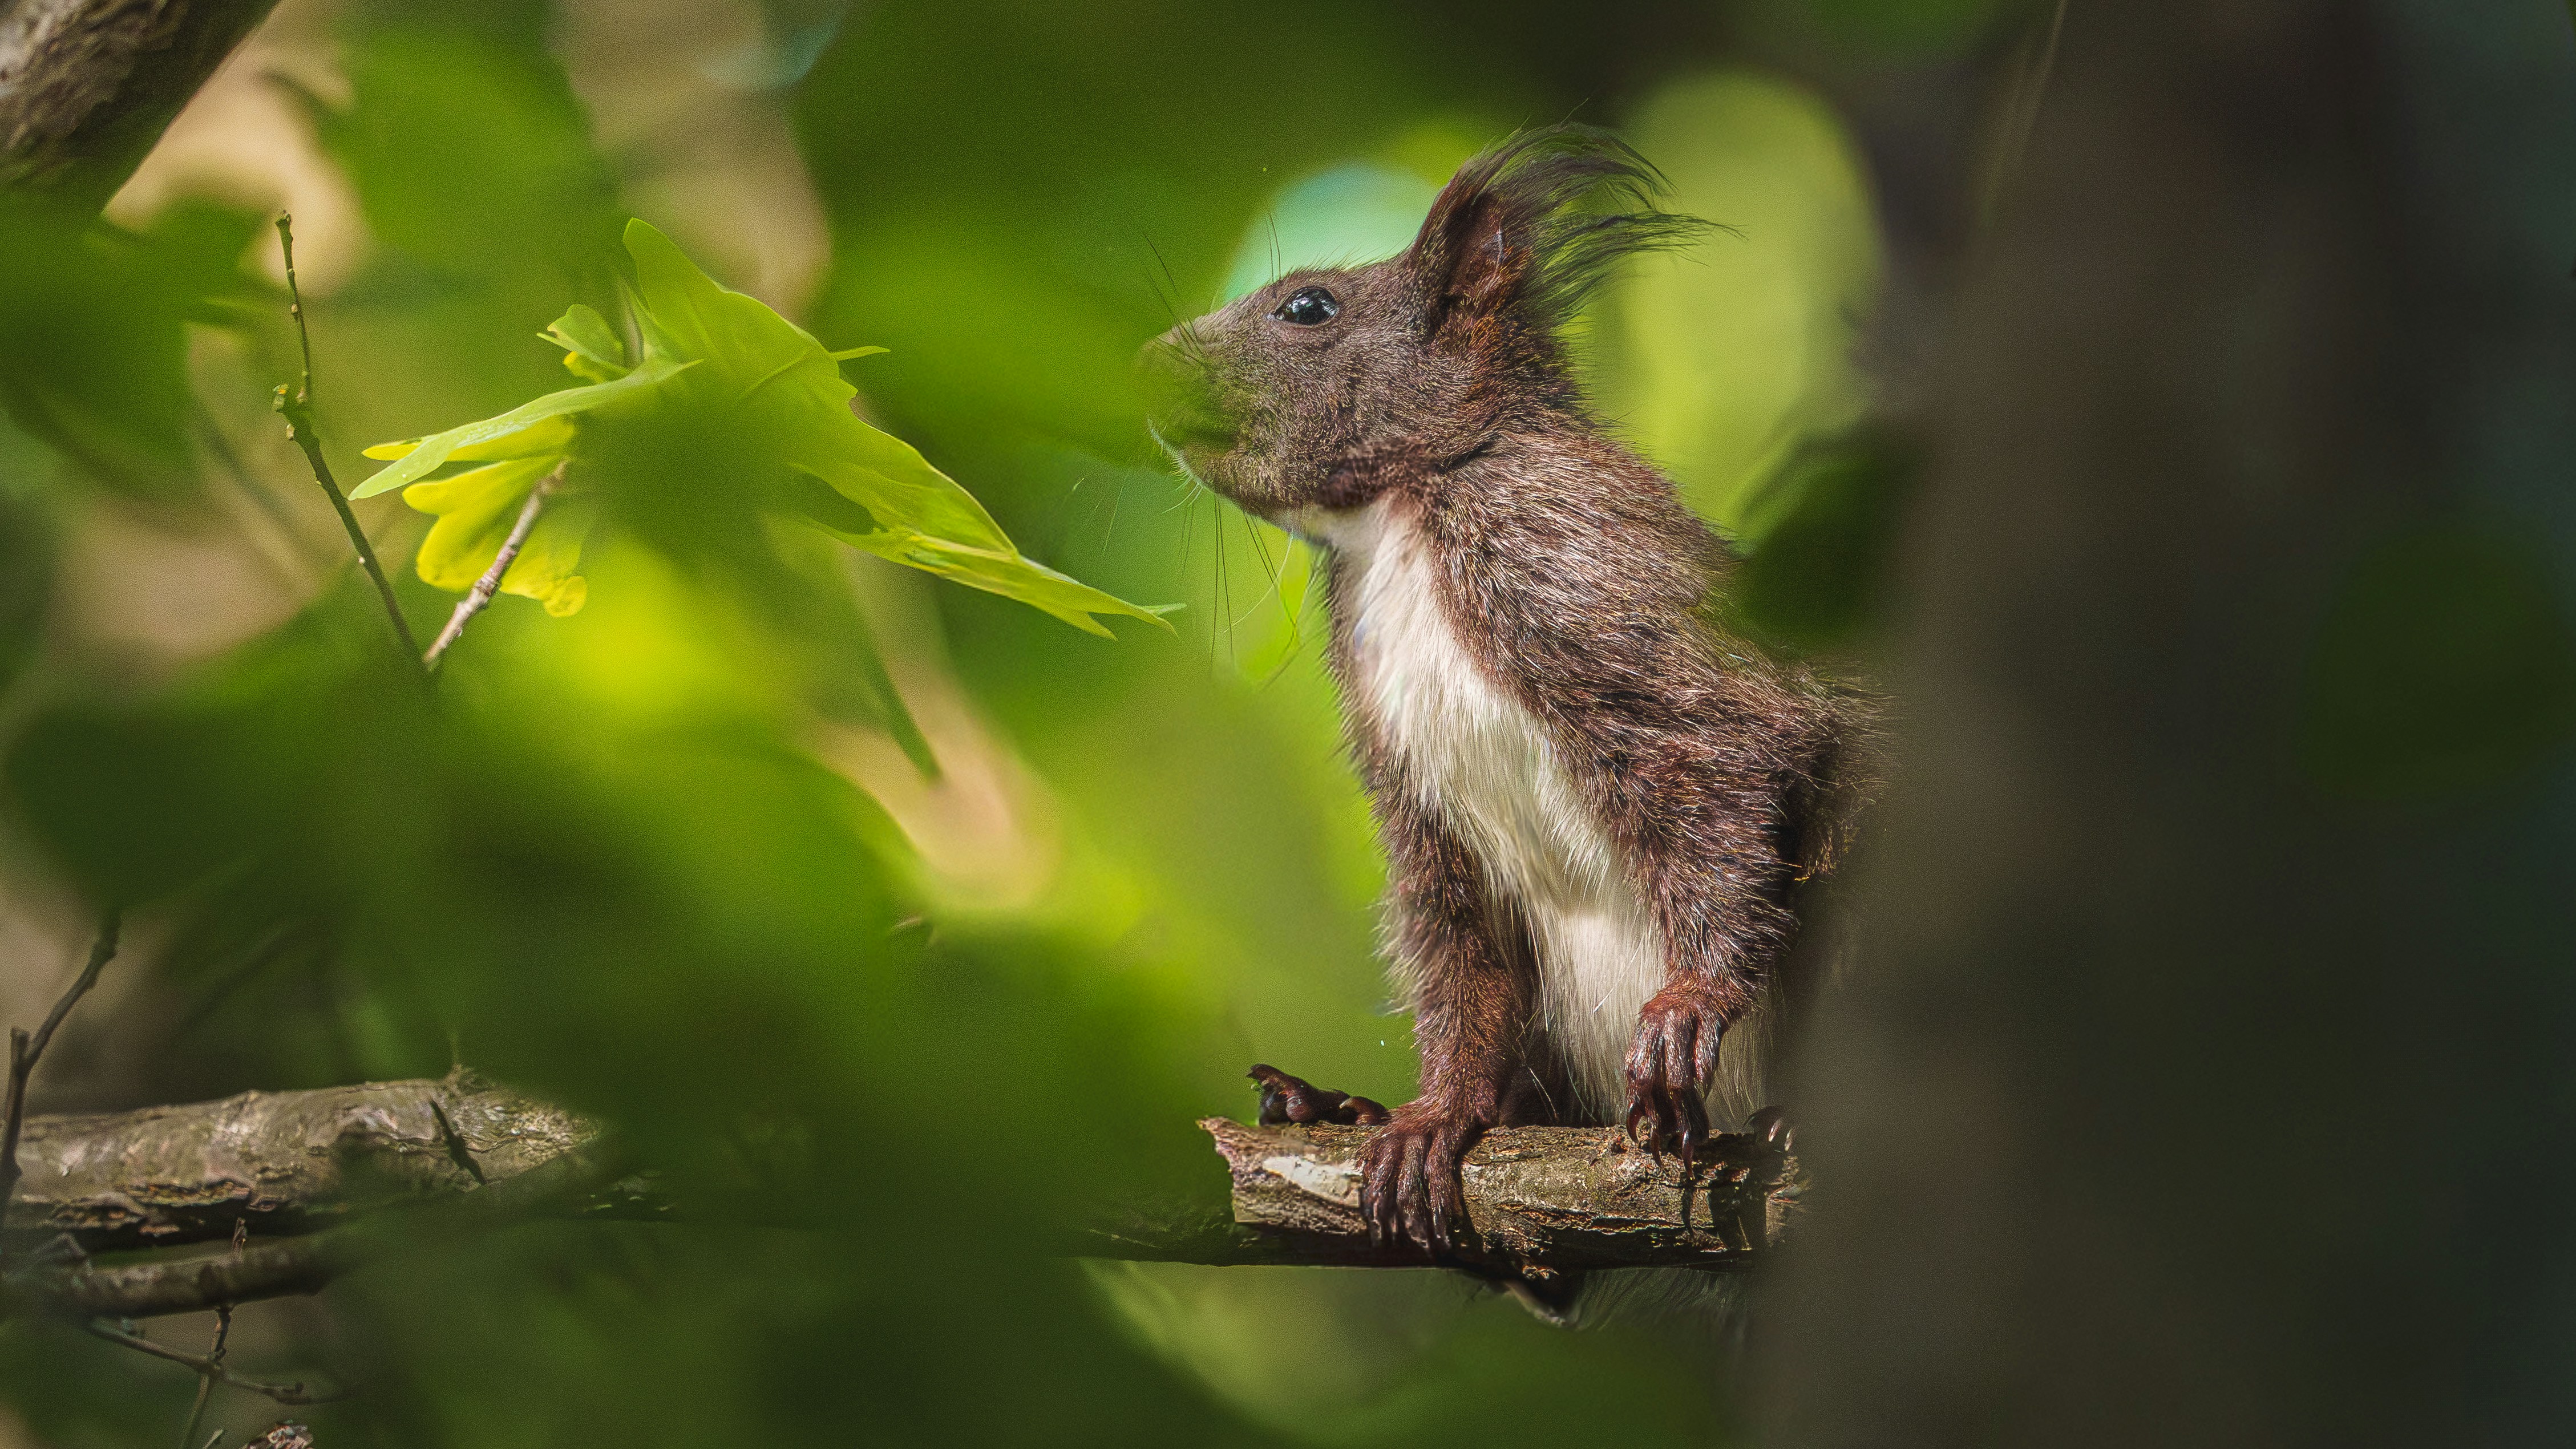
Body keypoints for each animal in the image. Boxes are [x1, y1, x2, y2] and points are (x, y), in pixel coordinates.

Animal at [1146, 125, 1871, 1264]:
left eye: (1308, 306)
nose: (1142, 370)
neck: (1396, 519)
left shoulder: (1576, 570)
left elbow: (1738, 753)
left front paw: (1691, 1002)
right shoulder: (1406, 789)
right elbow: (1456, 954)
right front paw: (1435, 1115)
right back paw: (1324, 1107)